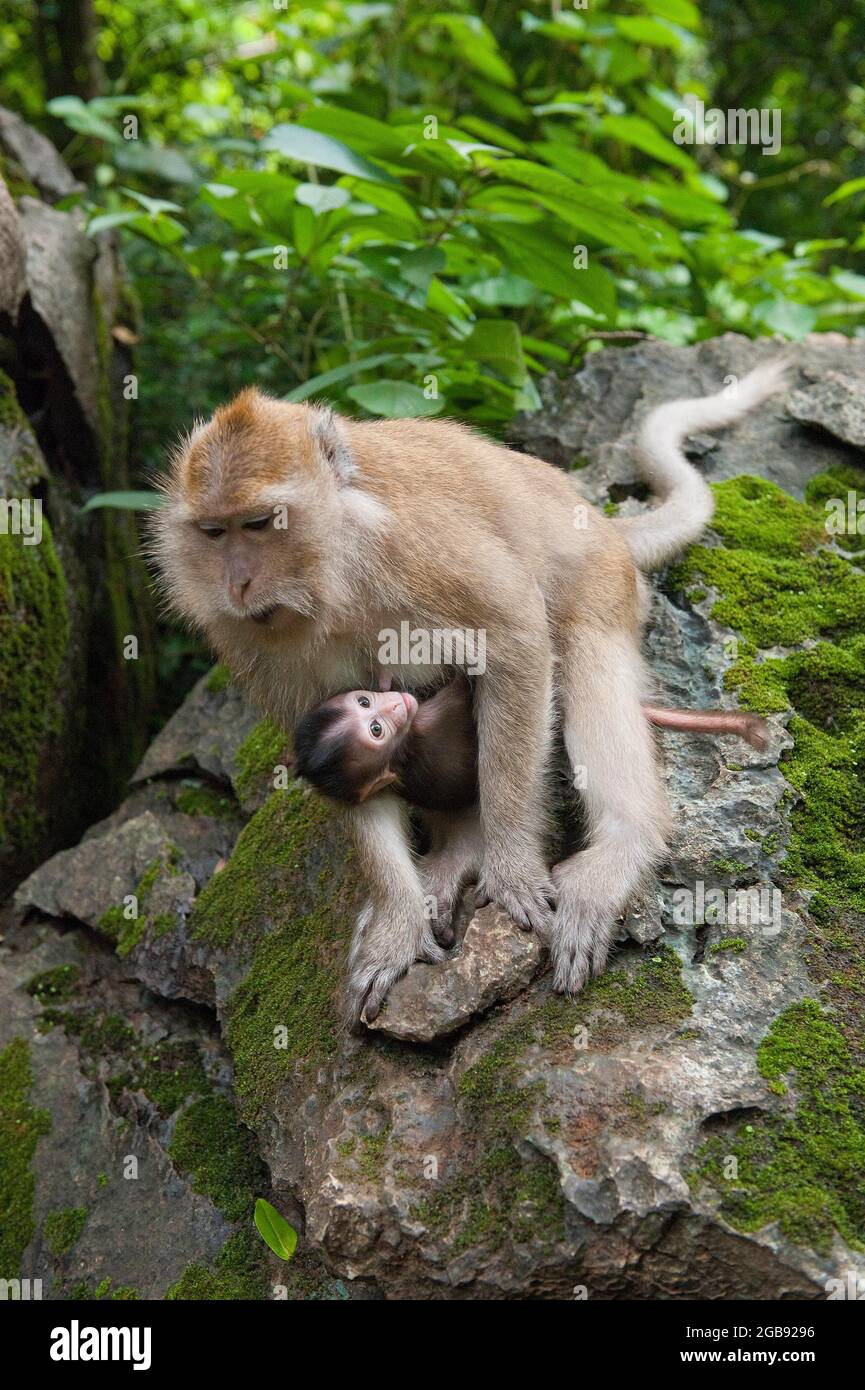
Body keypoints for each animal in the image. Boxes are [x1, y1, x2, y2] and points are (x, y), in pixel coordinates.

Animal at [149, 357, 787, 1024]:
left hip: (602, 578)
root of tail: (600, 521)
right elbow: (330, 754)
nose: (238, 585)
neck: (335, 570)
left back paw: (615, 852)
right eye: (213, 533)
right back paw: (456, 849)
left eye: (259, 523)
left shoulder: (417, 549)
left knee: (583, 659)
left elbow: (515, 638)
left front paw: (509, 870)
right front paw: (397, 922)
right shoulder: (249, 640)